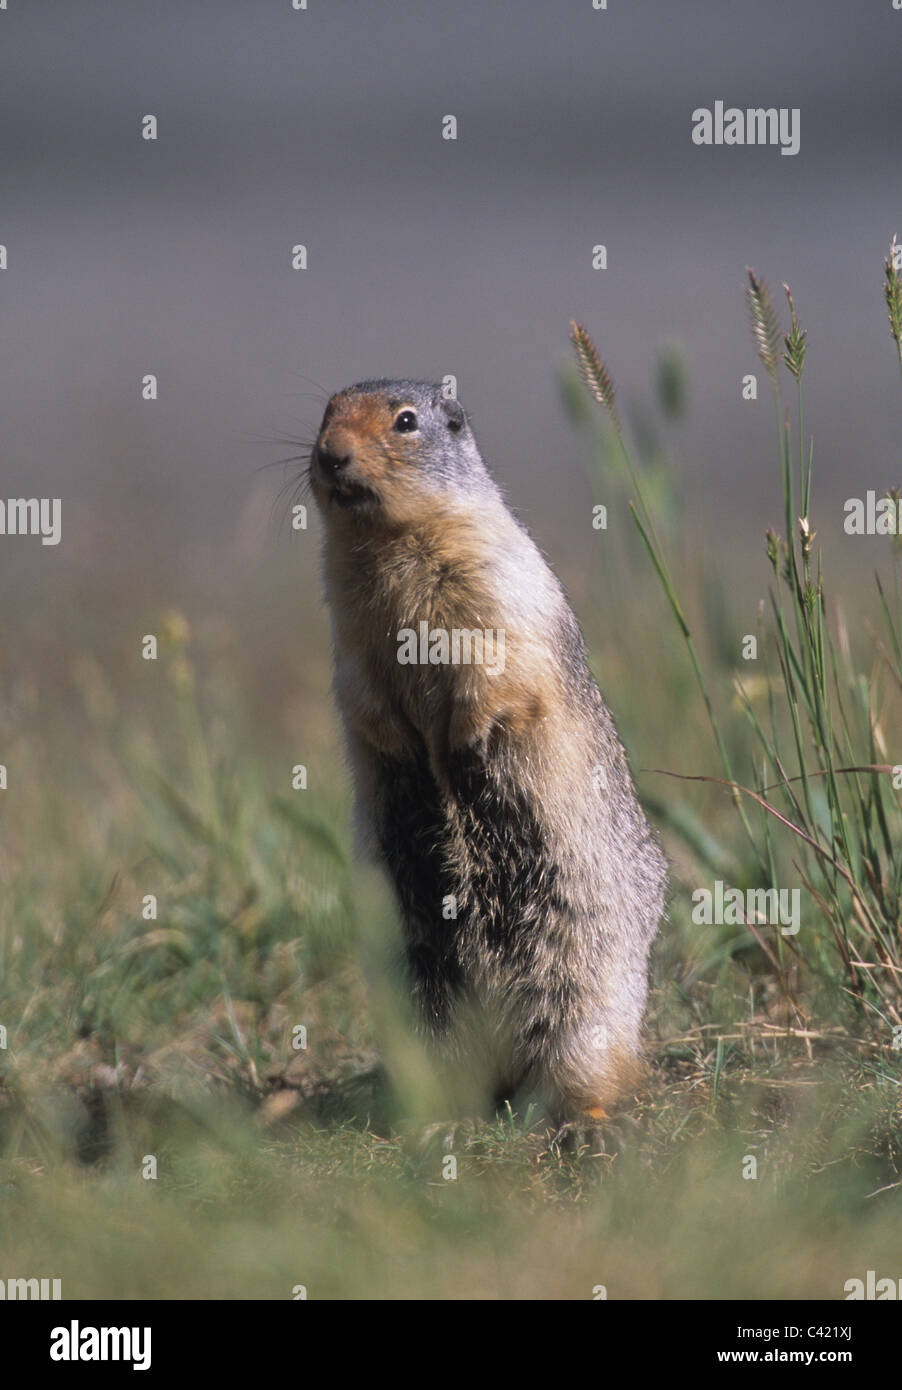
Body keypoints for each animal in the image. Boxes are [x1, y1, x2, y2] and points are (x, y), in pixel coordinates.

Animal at [308, 379, 666, 1125]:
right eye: (325, 414)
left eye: (405, 422)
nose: (330, 455)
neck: (390, 546)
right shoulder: (347, 627)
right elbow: (362, 692)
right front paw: (409, 752)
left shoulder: (497, 582)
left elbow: (499, 665)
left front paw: (462, 747)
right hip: (417, 996)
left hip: (585, 986)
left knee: (589, 1063)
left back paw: (583, 1123)